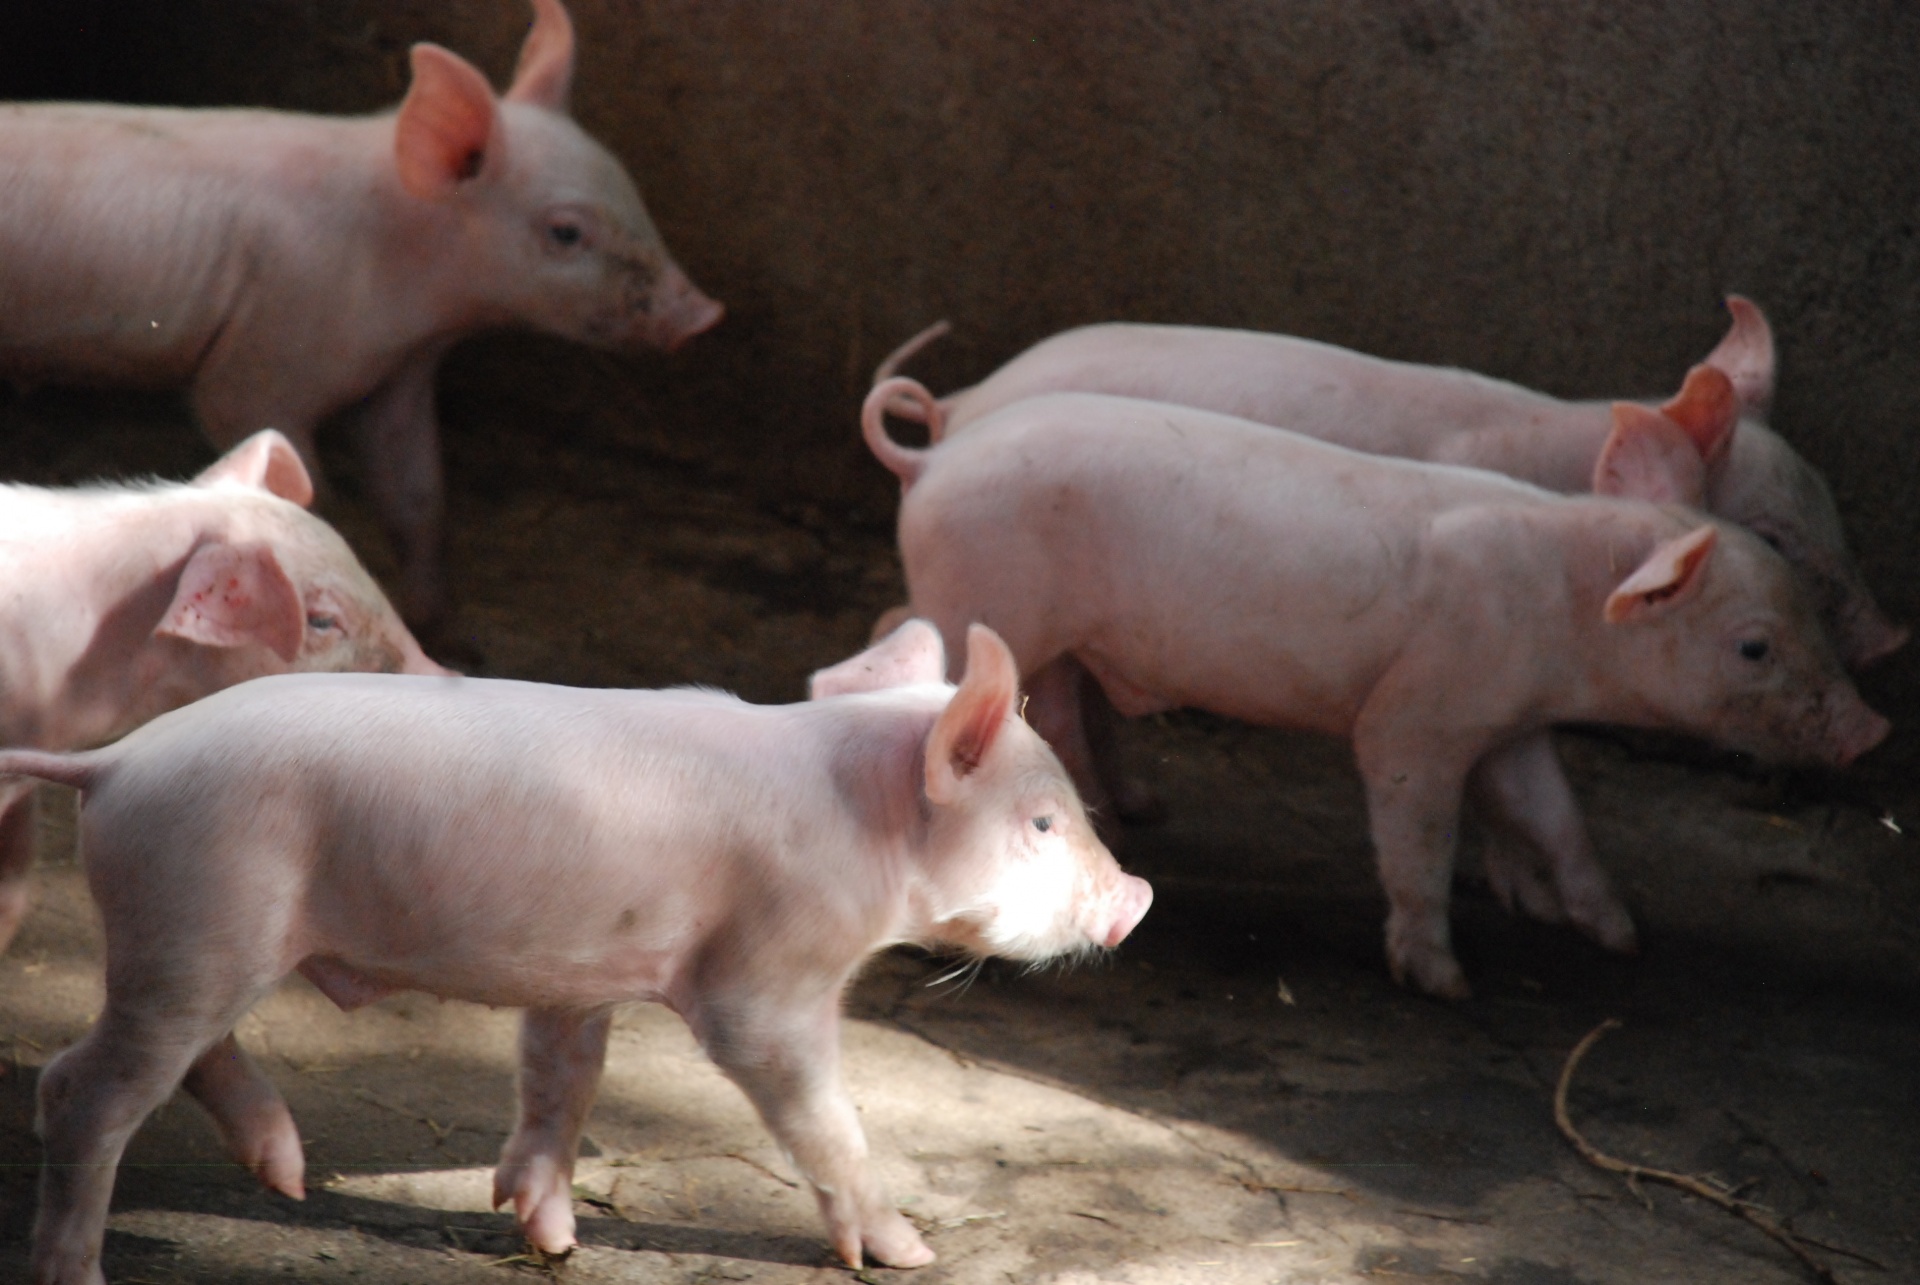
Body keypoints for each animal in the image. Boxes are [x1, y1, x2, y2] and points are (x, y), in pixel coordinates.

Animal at [0, 0, 724, 629]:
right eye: (566, 232)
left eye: (632, 192)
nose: (704, 314)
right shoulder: (263, 358)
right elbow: (287, 464)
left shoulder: (401, 374)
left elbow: (418, 494)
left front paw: (438, 621)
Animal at [0, 620, 1151, 1283]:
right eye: (1043, 821)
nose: (1136, 898)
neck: (861, 824)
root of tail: (114, 762)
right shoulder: (767, 977)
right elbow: (823, 1117)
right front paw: (913, 1251)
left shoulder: (575, 975)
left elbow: (564, 1080)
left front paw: (547, 1236)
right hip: (201, 912)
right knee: (85, 1085)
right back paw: (80, 1265)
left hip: (201, 931)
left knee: (160, 1057)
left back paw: (284, 1176)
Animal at [862, 380, 1887, 999]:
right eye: (1753, 646)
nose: (1871, 731)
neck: (1556, 607)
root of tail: (931, 461)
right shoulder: (1419, 713)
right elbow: (1418, 829)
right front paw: (1447, 982)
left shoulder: (1509, 722)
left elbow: (1556, 818)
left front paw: (1622, 937)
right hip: (985, 597)